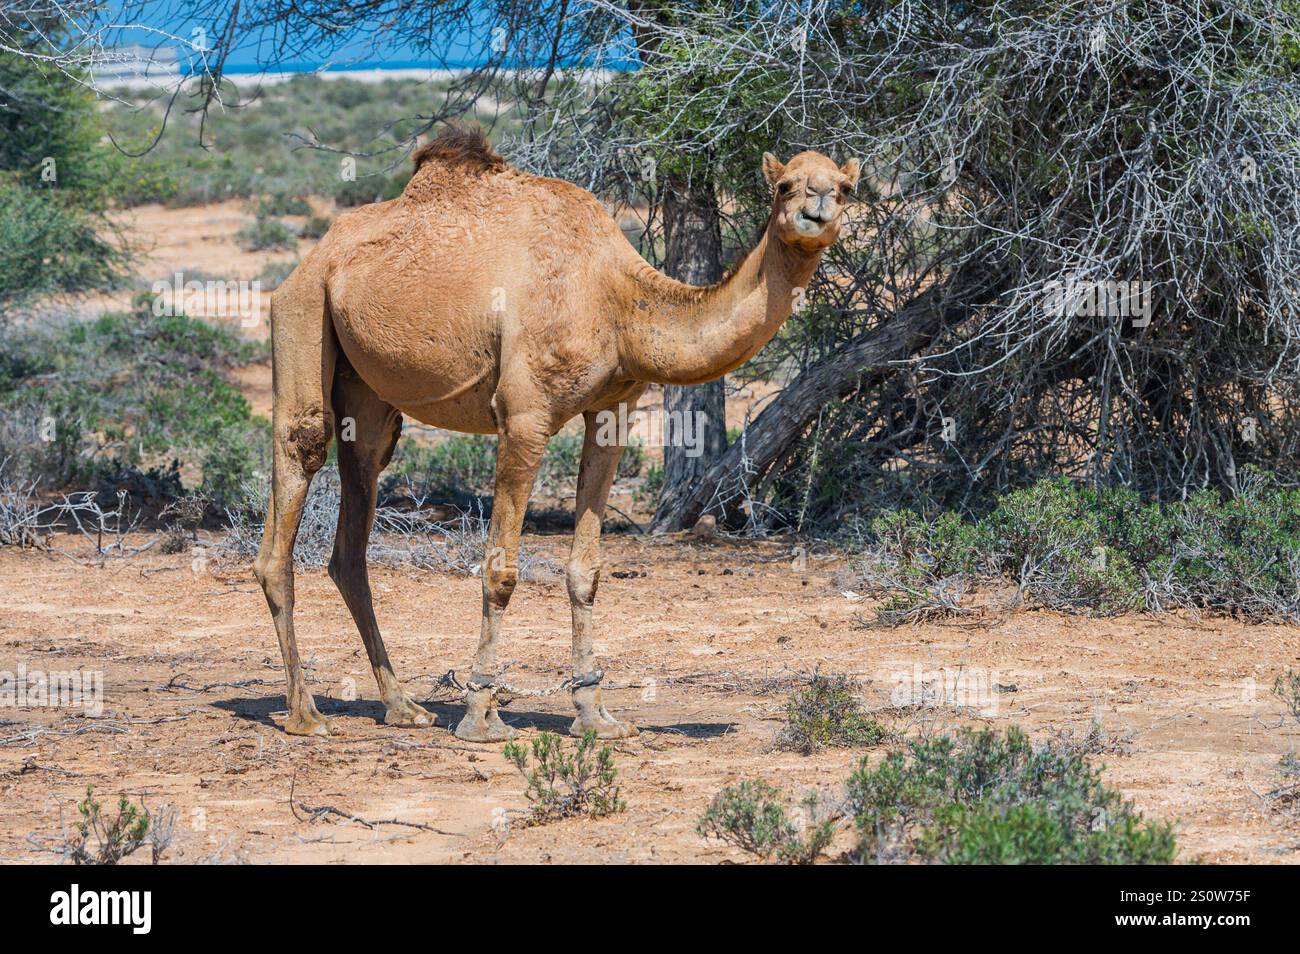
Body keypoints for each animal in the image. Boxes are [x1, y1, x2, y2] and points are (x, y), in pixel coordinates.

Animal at [254, 128, 859, 742]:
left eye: (846, 187)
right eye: (784, 185)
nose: (817, 208)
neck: (616, 299)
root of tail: (312, 259)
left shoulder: (613, 409)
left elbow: (585, 572)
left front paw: (596, 715)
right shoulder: (524, 413)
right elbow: (500, 571)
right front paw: (481, 715)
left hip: (368, 393)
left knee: (355, 518)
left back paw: (402, 706)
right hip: (302, 314)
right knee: (300, 450)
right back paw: (305, 712)